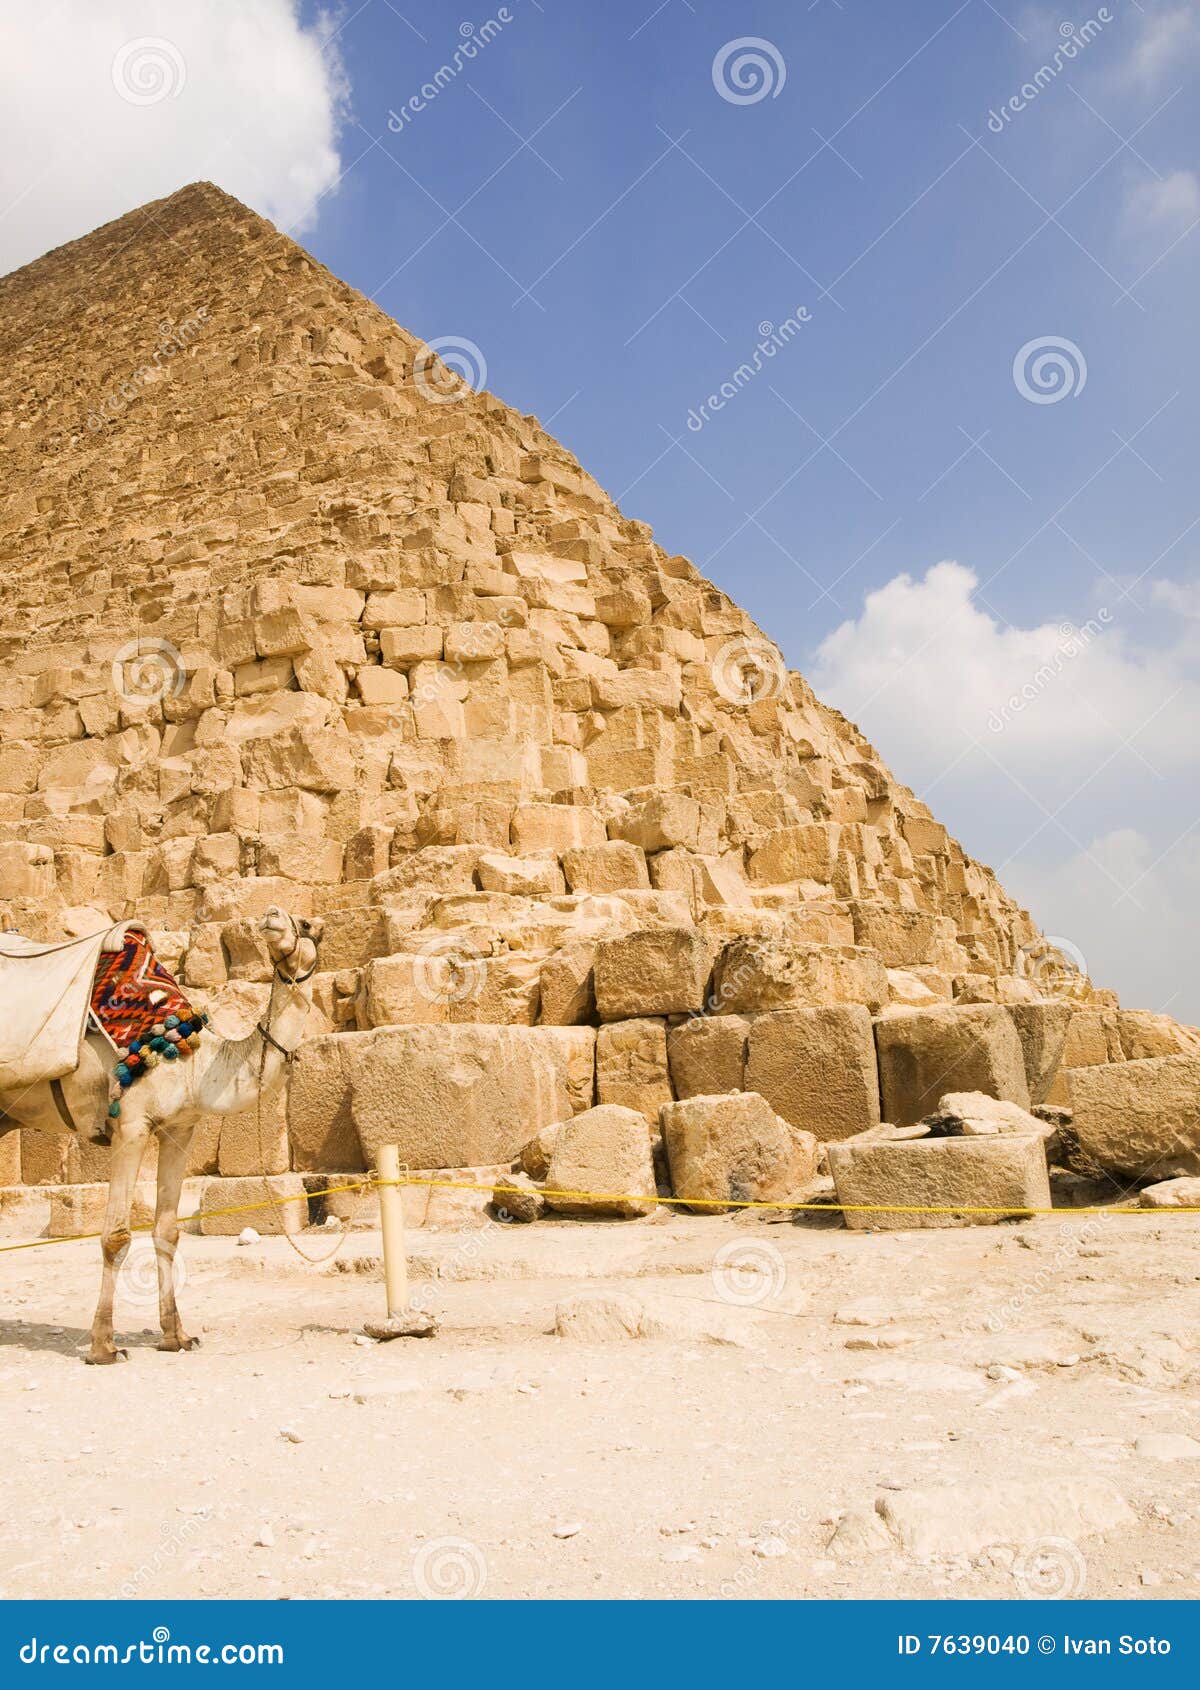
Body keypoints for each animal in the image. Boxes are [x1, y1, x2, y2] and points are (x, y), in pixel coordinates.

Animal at [0, 906, 322, 1364]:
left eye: (309, 924)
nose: (272, 915)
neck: (192, 1062)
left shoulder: (180, 1129)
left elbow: (167, 1232)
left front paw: (176, 1336)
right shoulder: (131, 1125)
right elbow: (116, 1236)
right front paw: (103, 1346)